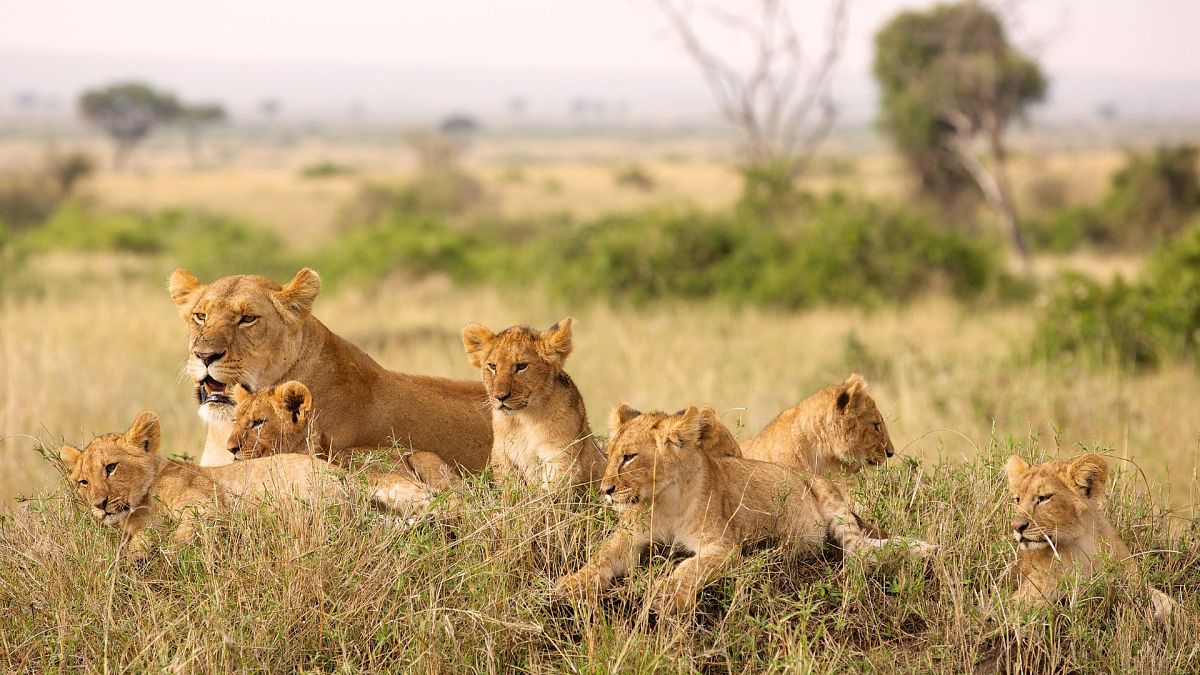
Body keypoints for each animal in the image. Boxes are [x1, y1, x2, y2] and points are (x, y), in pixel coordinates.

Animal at [60, 411, 441, 563]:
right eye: (83, 482)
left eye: (111, 468)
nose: (98, 505)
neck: (141, 504)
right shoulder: (140, 529)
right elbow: (135, 546)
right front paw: (132, 559)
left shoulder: (207, 507)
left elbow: (181, 537)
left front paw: (166, 554)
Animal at [460, 317, 608, 489]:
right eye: (492, 366)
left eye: (521, 366)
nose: (500, 397)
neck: (524, 419)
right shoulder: (502, 454)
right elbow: (509, 486)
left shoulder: (561, 456)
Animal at [553, 405, 937, 615]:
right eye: (610, 455)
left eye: (629, 457)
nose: (605, 491)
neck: (663, 499)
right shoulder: (631, 535)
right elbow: (602, 557)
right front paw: (572, 584)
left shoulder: (724, 545)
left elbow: (687, 569)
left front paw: (666, 596)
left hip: (827, 493)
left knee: (860, 549)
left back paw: (918, 549)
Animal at [1005, 454, 1174, 623]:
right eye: (1018, 499)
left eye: (1044, 498)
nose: (1016, 526)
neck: (1082, 544)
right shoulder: (1029, 591)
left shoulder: (1132, 579)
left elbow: (1166, 600)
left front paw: (1161, 613)